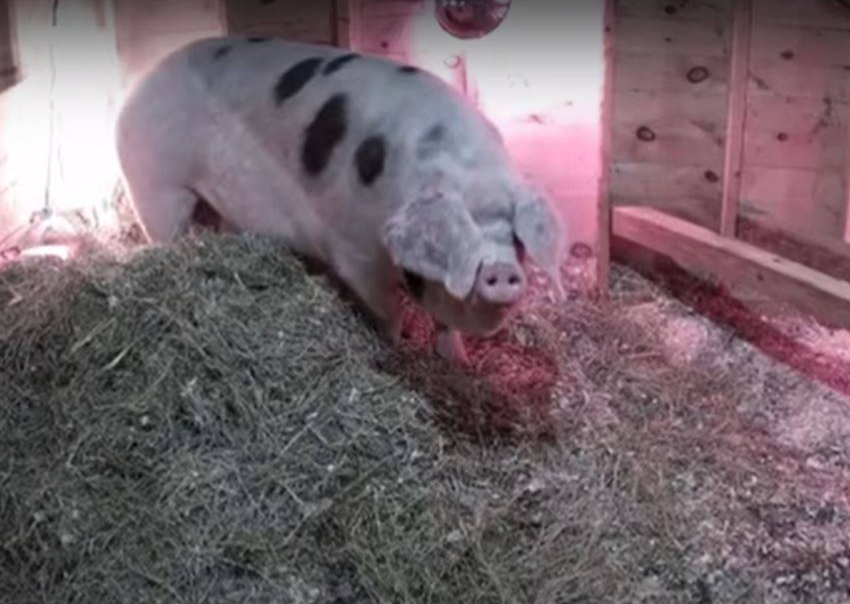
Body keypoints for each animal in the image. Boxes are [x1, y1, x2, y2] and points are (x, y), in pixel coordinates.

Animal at [115, 36, 565, 364]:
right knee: (167, 234)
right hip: (157, 187)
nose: (501, 272)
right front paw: (393, 351)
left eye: (516, 239)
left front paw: (458, 364)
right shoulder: (354, 250)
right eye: (458, 237)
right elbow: (388, 309)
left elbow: (443, 324)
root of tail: (139, 84)